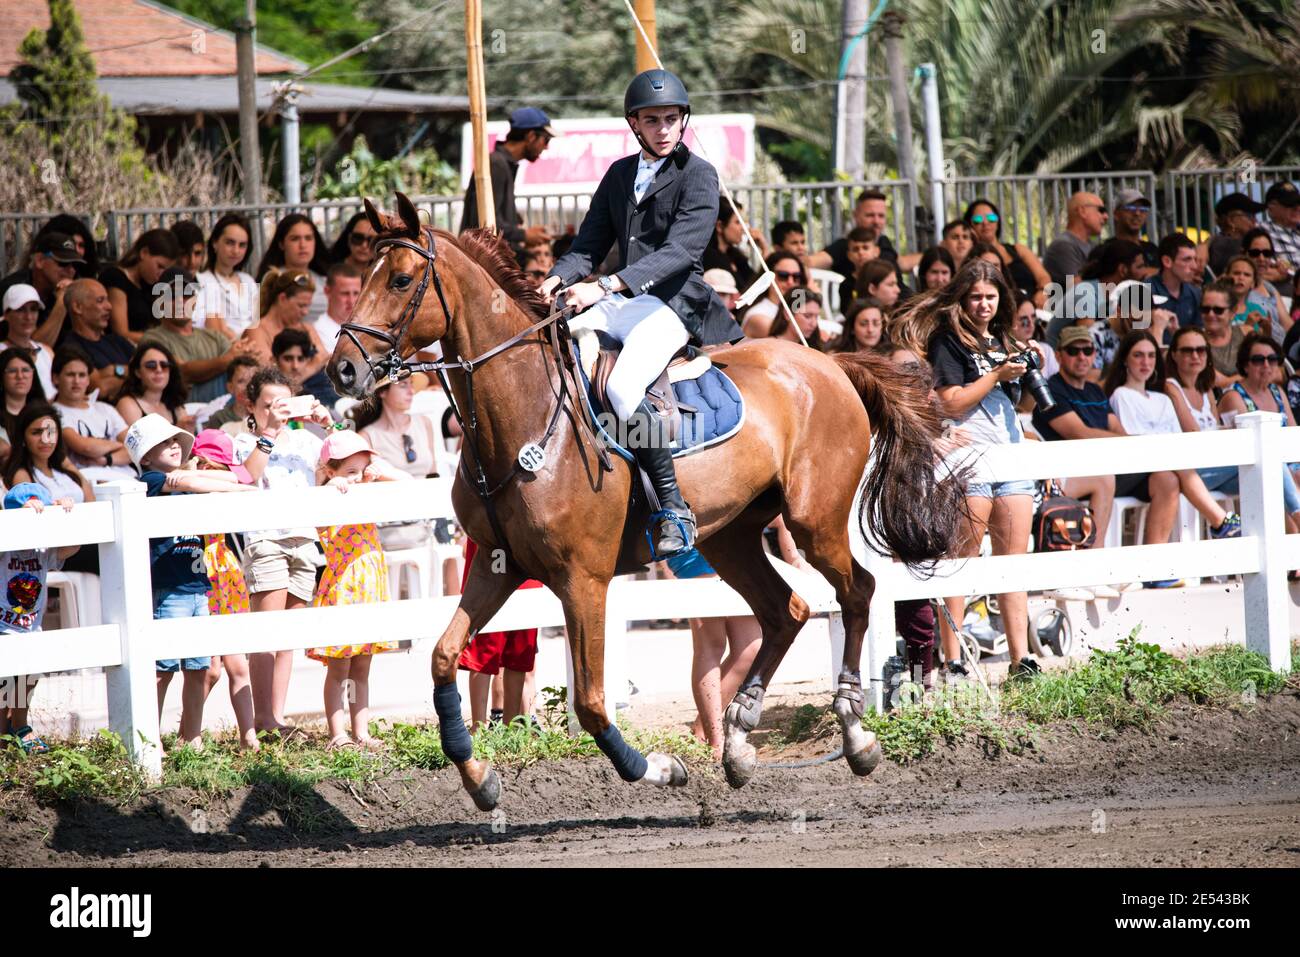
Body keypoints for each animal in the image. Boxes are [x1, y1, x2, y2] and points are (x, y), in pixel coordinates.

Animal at [329, 193, 966, 810]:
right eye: (363, 277)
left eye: (402, 280)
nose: (343, 370)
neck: (527, 417)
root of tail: (828, 361)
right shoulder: (495, 564)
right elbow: (443, 656)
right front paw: (479, 777)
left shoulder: (583, 579)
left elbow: (590, 702)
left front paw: (660, 769)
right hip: (731, 537)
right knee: (785, 610)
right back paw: (739, 740)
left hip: (815, 523)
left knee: (856, 593)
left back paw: (855, 734)